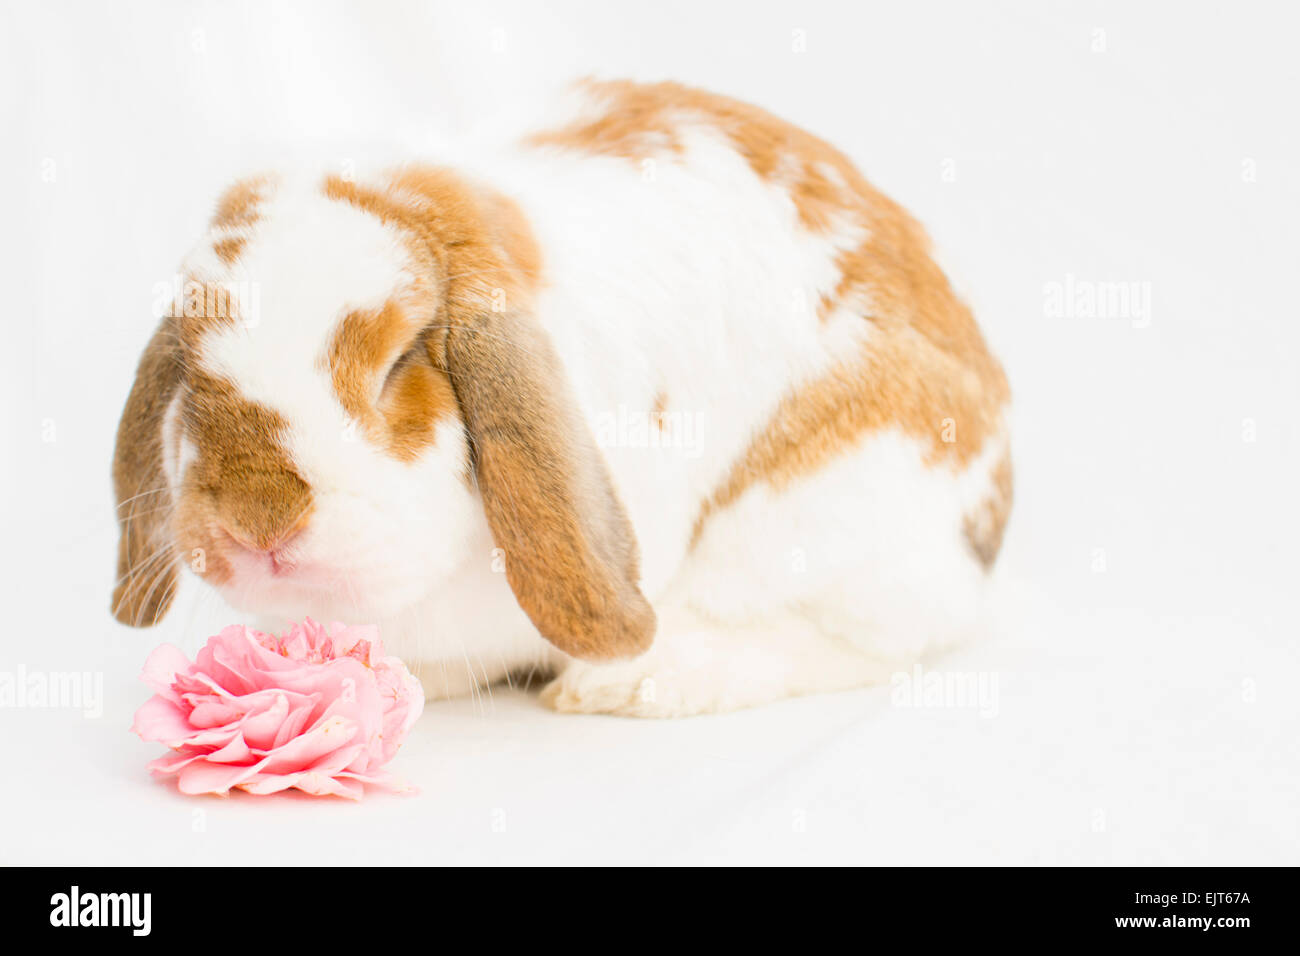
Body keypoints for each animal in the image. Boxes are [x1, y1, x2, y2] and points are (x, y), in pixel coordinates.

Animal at [111, 79, 1012, 717]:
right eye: (190, 366)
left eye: (398, 360)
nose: (259, 517)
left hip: (829, 517)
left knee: (880, 635)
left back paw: (633, 683)